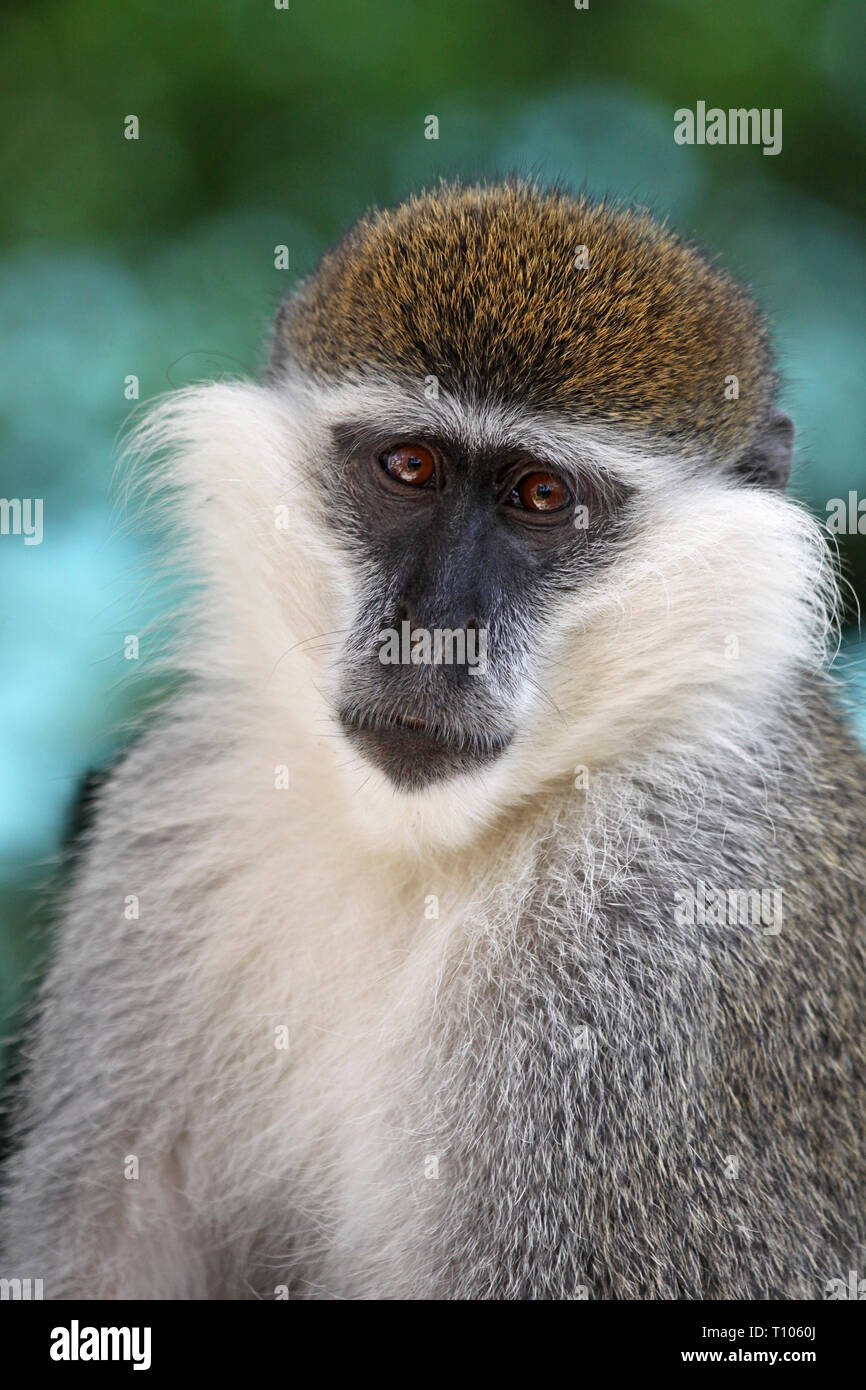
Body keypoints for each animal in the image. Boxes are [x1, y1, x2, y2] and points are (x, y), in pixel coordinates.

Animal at [1, 180, 864, 1300]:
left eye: (540, 495)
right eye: (409, 466)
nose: (434, 628)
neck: (416, 852)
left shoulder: (672, 918)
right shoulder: (167, 819)